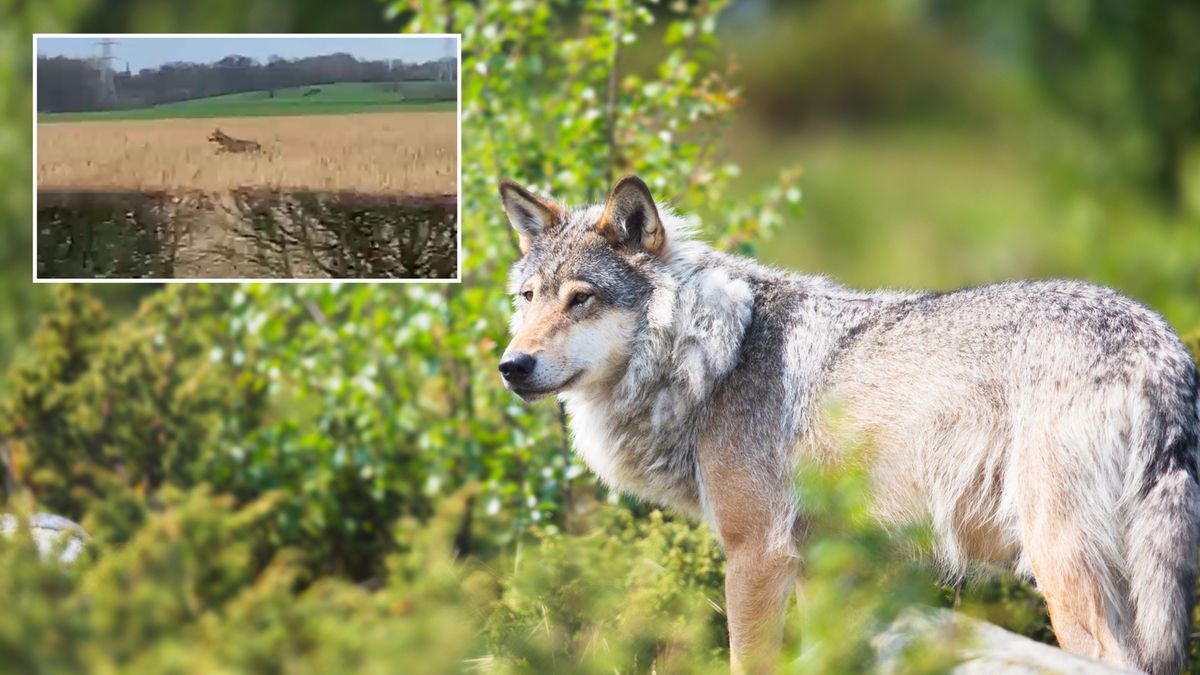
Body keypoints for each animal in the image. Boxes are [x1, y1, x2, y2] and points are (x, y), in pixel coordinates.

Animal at [497, 175, 1200, 674]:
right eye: (528, 299)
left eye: (581, 299)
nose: (511, 365)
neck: (712, 353)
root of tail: (1158, 344)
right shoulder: (821, 564)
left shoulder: (756, 554)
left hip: (1059, 566)